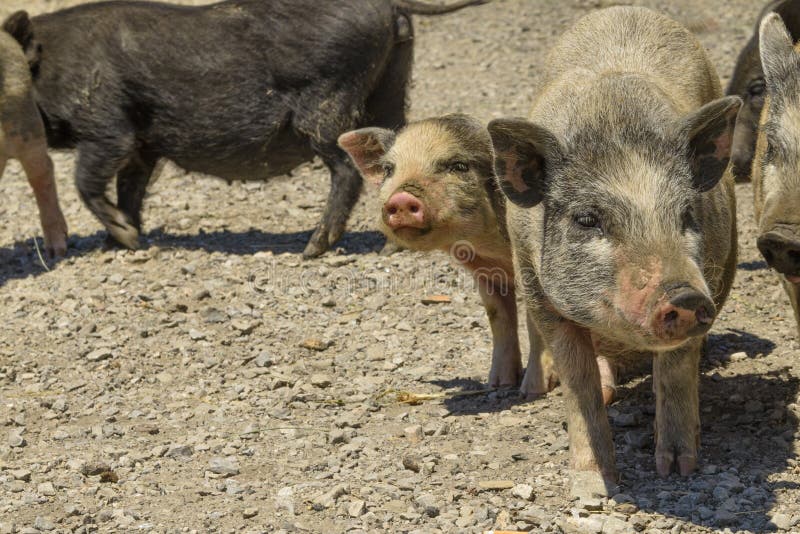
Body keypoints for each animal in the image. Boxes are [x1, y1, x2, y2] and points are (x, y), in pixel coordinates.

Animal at [338, 114, 619, 403]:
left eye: (458, 165)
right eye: (388, 169)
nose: (402, 198)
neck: (492, 249)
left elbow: (536, 325)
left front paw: (532, 391)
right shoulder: (485, 274)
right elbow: (498, 319)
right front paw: (498, 384)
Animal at [489, 6, 739, 496]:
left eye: (686, 214)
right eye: (587, 219)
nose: (683, 295)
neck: (614, 126)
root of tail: (626, 9)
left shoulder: (713, 278)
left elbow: (675, 371)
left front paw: (678, 470)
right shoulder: (538, 287)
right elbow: (578, 380)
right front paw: (593, 486)